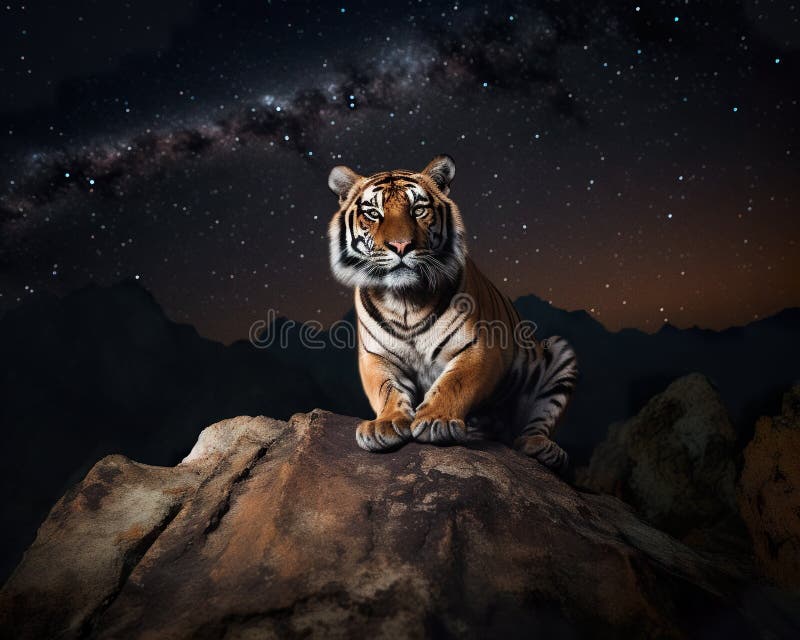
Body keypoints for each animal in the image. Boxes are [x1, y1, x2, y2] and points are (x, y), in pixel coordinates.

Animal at [327, 154, 578, 472]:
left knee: (534, 427)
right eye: (373, 213)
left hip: (560, 353)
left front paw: (436, 420)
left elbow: (454, 382)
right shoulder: (376, 357)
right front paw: (384, 424)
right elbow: (386, 389)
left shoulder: (478, 347)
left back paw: (543, 449)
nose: (400, 245)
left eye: (418, 210)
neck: (405, 299)